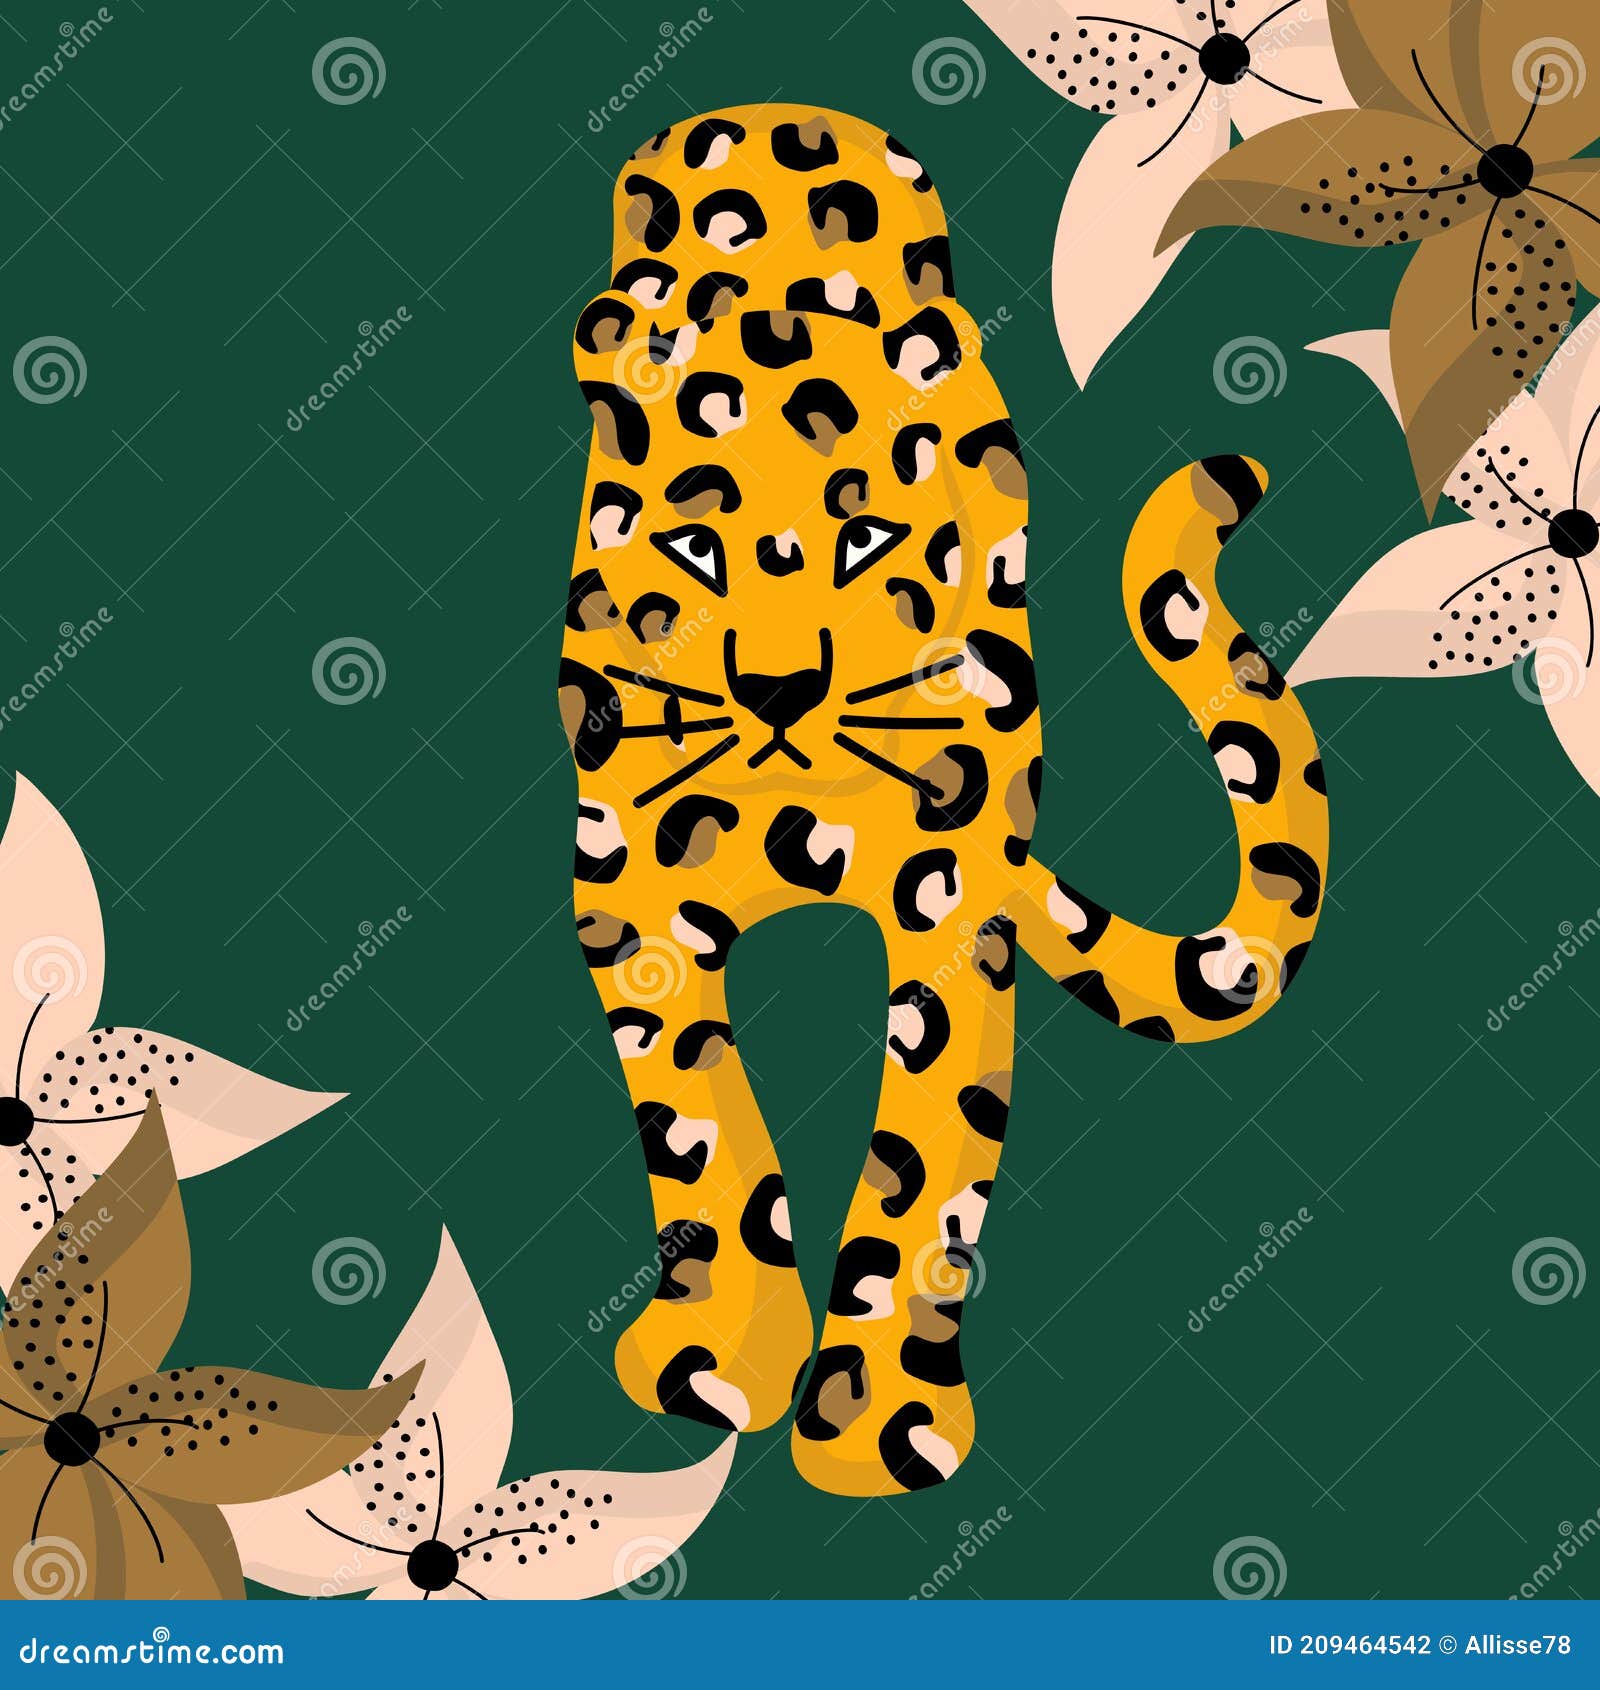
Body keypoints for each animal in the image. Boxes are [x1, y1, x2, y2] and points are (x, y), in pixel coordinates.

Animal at [561, 104, 1329, 1497]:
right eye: (692, 549)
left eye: (866, 542)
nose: (777, 690)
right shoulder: (630, 901)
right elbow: (697, 1121)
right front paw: (717, 1356)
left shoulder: (951, 910)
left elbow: (923, 1174)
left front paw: (876, 1424)